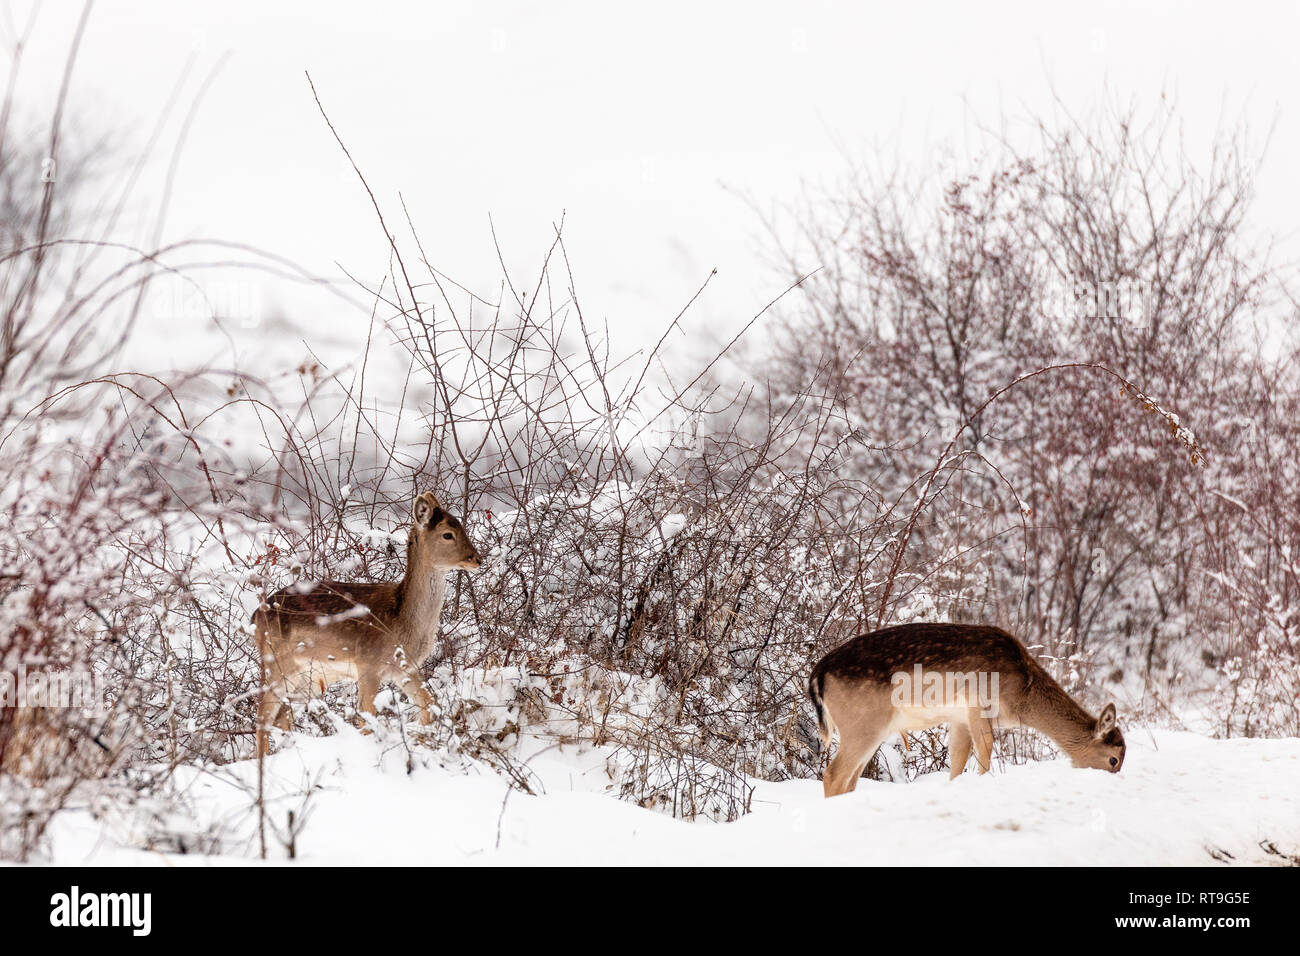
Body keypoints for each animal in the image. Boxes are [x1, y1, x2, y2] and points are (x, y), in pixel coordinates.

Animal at [253, 491, 481, 757]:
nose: (477, 559)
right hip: (276, 663)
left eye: (461, 525)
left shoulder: (406, 667)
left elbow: (428, 706)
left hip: (306, 678)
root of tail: (255, 615)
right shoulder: (368, 664)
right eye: (447, 534)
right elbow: (366, 720)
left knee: (282, 716)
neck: (402, 622)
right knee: (263, 714)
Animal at [807, 622, 1125, 797]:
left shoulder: (957, 718)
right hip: (863, 724)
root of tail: (818, 675)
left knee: (849, 780)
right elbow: (985, 754)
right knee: (833, 775)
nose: (1113, 781)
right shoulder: (978, 703)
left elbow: (957, 762)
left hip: (869, 730)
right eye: (1113, 759)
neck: (1021, 695)